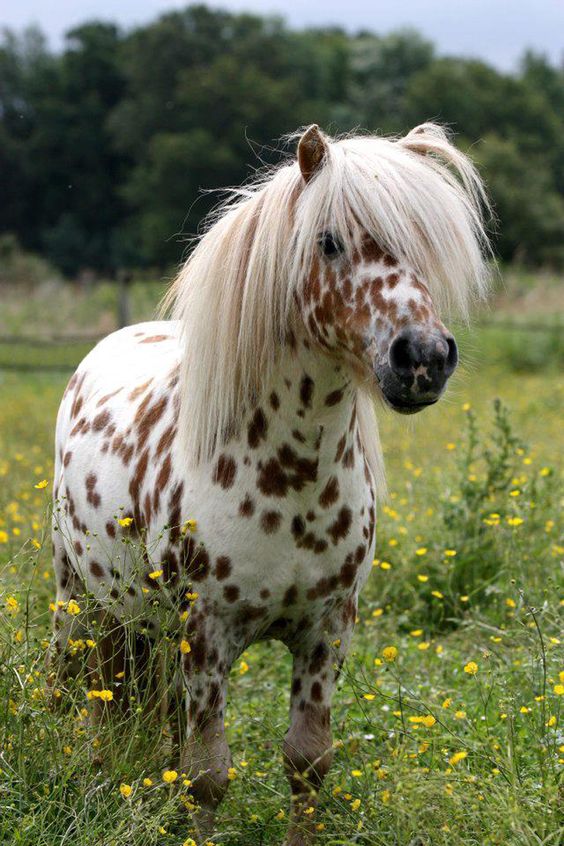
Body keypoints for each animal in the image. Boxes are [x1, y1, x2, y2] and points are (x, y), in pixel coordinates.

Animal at [48, 123, 490, 845]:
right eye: (329, 241)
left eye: (426, 244)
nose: (422, 358)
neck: (291, 478)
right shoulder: (207, 634)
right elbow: (207, 775)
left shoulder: (327, 632)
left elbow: (306, 762)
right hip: (80, 600)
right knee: (84, 695)